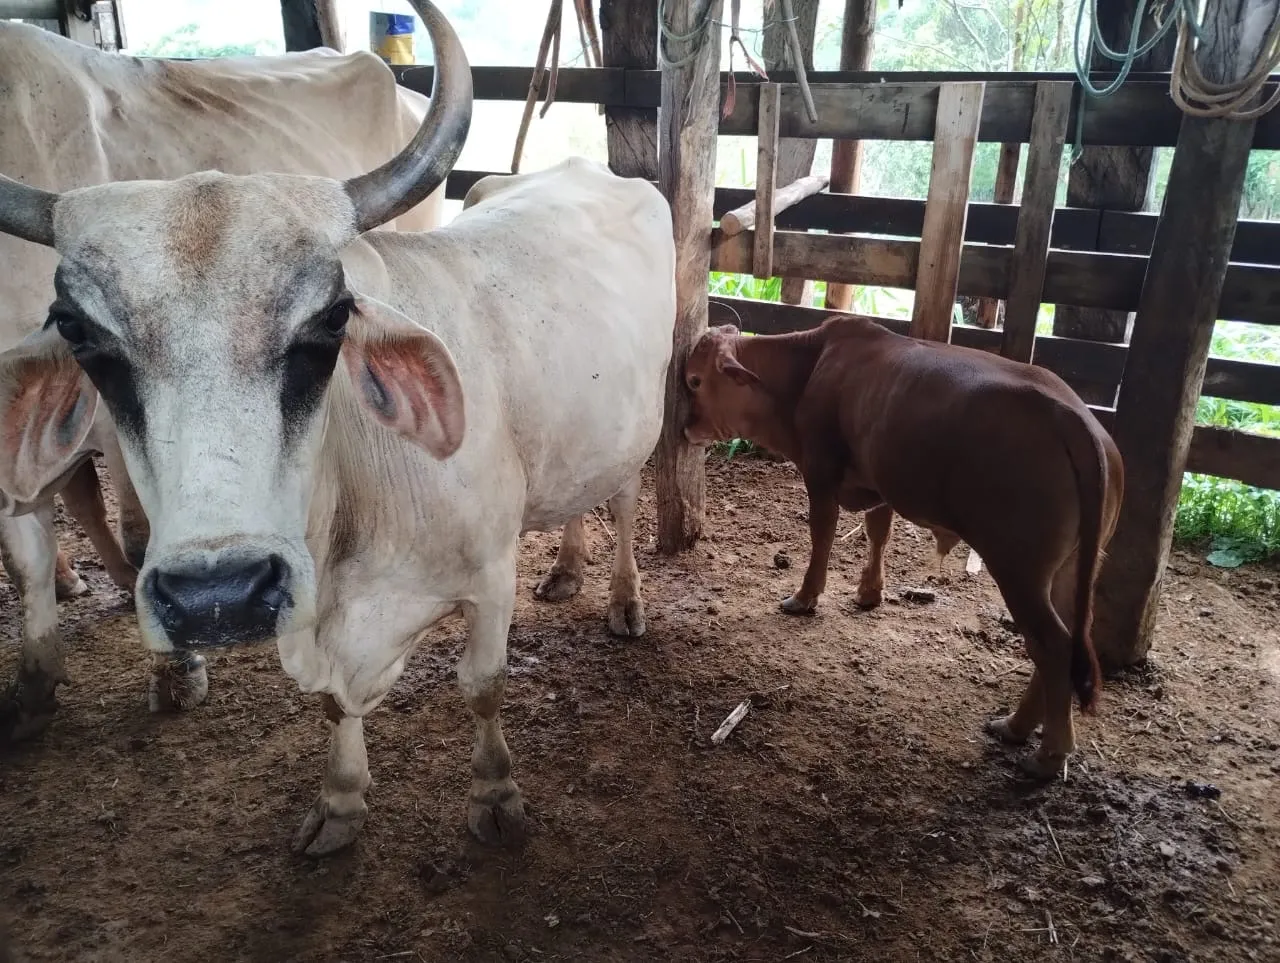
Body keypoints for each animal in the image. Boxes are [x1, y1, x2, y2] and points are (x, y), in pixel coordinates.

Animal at [0, 18, 447, 742]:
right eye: (72, 325)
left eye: (332, 315)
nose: (222, 596)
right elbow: (25, 555)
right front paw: (34, 686)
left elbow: (134, 533)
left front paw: (177, 671)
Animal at [682, 317, 1124, 778]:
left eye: (694, 380)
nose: (685, 426)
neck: (806, 371)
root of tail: (1074, 417)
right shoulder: (876, 481)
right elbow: (878, 530)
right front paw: (868, 592)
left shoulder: (820, 470)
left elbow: (822, 534)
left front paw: (805, 597)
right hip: (1070, 567)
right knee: (1066, 640)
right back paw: (1015, 726)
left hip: (1019, 566)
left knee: (1052, 646)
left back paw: (1046, 752)